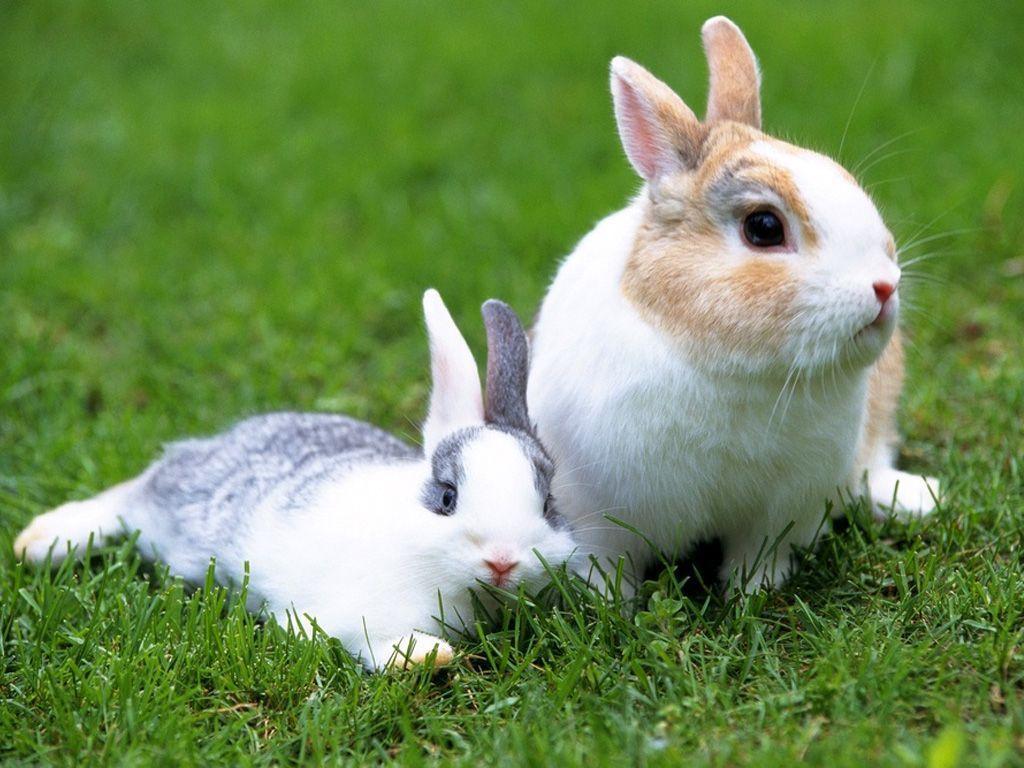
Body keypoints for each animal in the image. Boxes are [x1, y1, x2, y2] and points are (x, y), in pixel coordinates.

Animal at [14, 290, 577, 670]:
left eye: (549, 505)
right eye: (446, 497)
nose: (502, 561)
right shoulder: (350, 611)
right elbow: (367, 637)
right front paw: (426, 656)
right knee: (125, 499)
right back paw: (39, 542)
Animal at [527, 16, 940, 592]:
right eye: (764, 227)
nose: (884, 286)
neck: (733, 370)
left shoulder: (785, 509)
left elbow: (761, 557)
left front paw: (752, 594)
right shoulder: (595, 515)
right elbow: (609, 568)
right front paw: (611, 603)